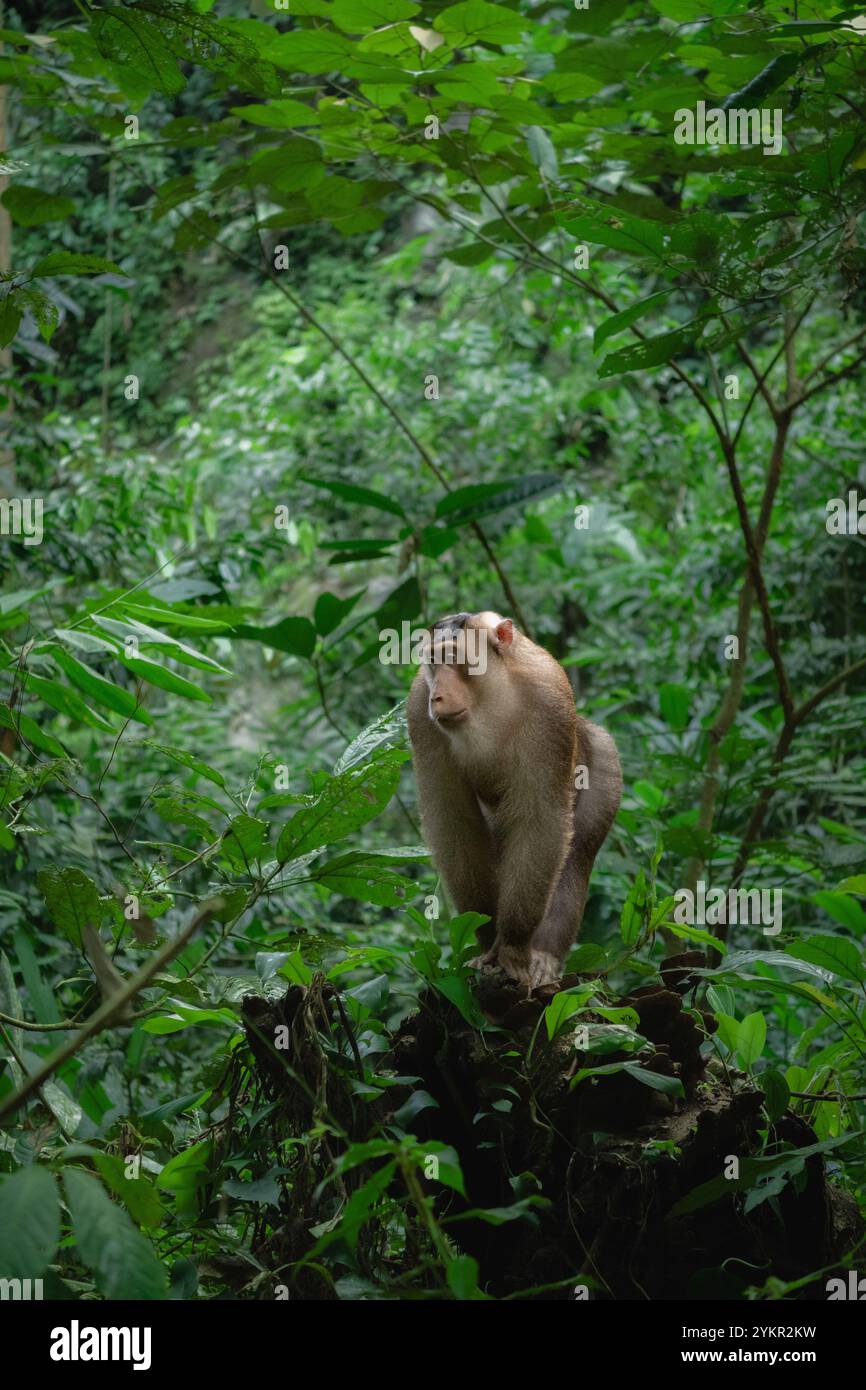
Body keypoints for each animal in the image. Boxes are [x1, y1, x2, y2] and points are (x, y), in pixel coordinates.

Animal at [407, 611, 622, 990]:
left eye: (453, 656)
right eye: (433, 661)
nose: (438, 698)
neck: (488, 699)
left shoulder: (548, 698)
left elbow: (539, 820)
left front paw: (512, 947)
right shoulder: (419, 712)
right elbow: (454, 822)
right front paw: (489, 938)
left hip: (604, 764)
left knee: (577, 852)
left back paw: (545, 956)